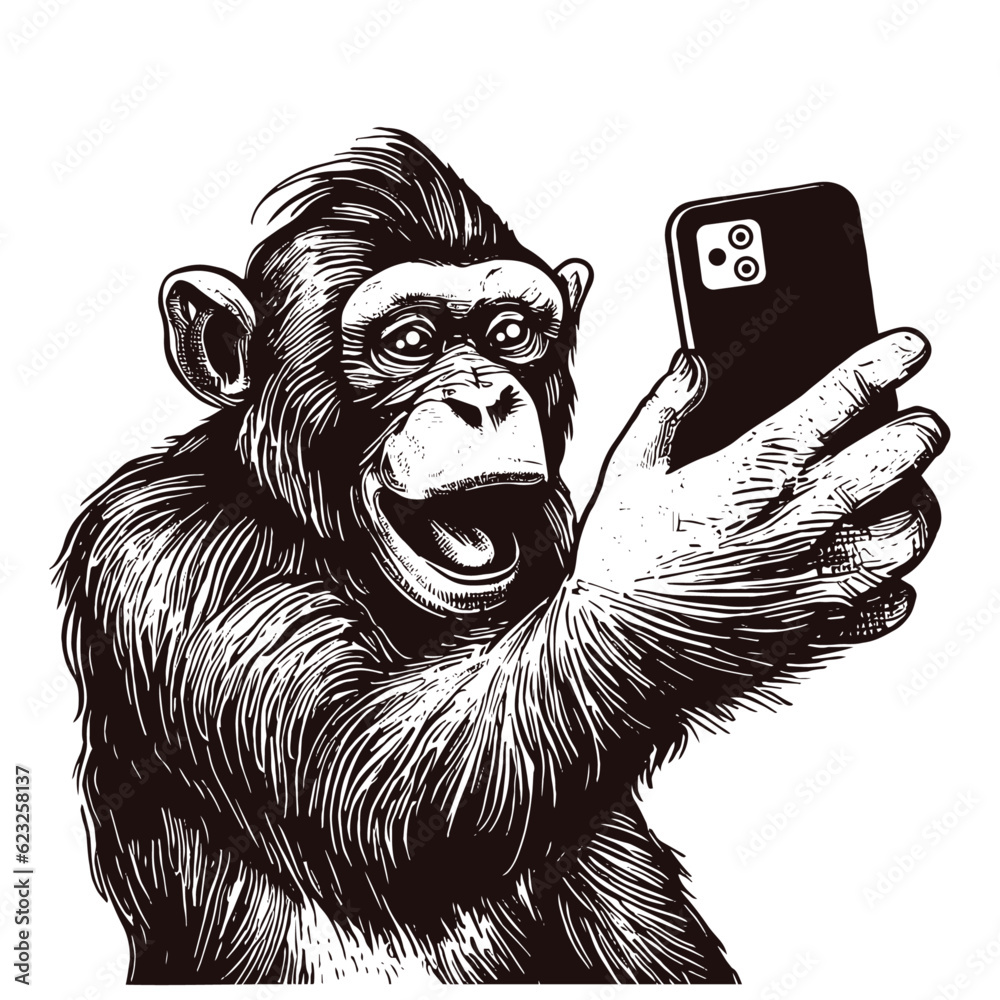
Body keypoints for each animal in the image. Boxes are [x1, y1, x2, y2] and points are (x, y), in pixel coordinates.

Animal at [57, 129, 946, 984]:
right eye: (410, 341)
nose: (482, 396)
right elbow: (376, 788)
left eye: (509, 334)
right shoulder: (168, 555)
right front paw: (697, 557)